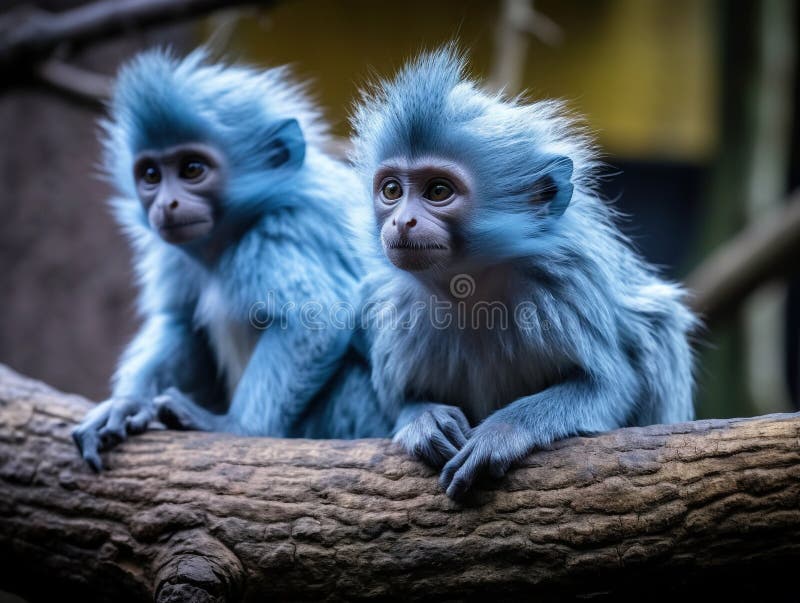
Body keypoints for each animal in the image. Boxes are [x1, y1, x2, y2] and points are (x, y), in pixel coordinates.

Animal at [73, 48, 389, 471]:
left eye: (192, 169)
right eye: (151, 175)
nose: (167, 204)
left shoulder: (277, 235)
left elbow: (316, 320)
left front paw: (235, 427)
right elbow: (181, 322)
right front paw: (126, 404)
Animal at [350, 46, 697, 500]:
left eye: (438, 191)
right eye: (392, 190)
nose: (401, 222)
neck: (471, 284)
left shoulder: (567, 281)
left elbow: (611, 387)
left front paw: (503, 431)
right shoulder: (396, 304)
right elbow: (401, 402)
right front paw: (425, 420)